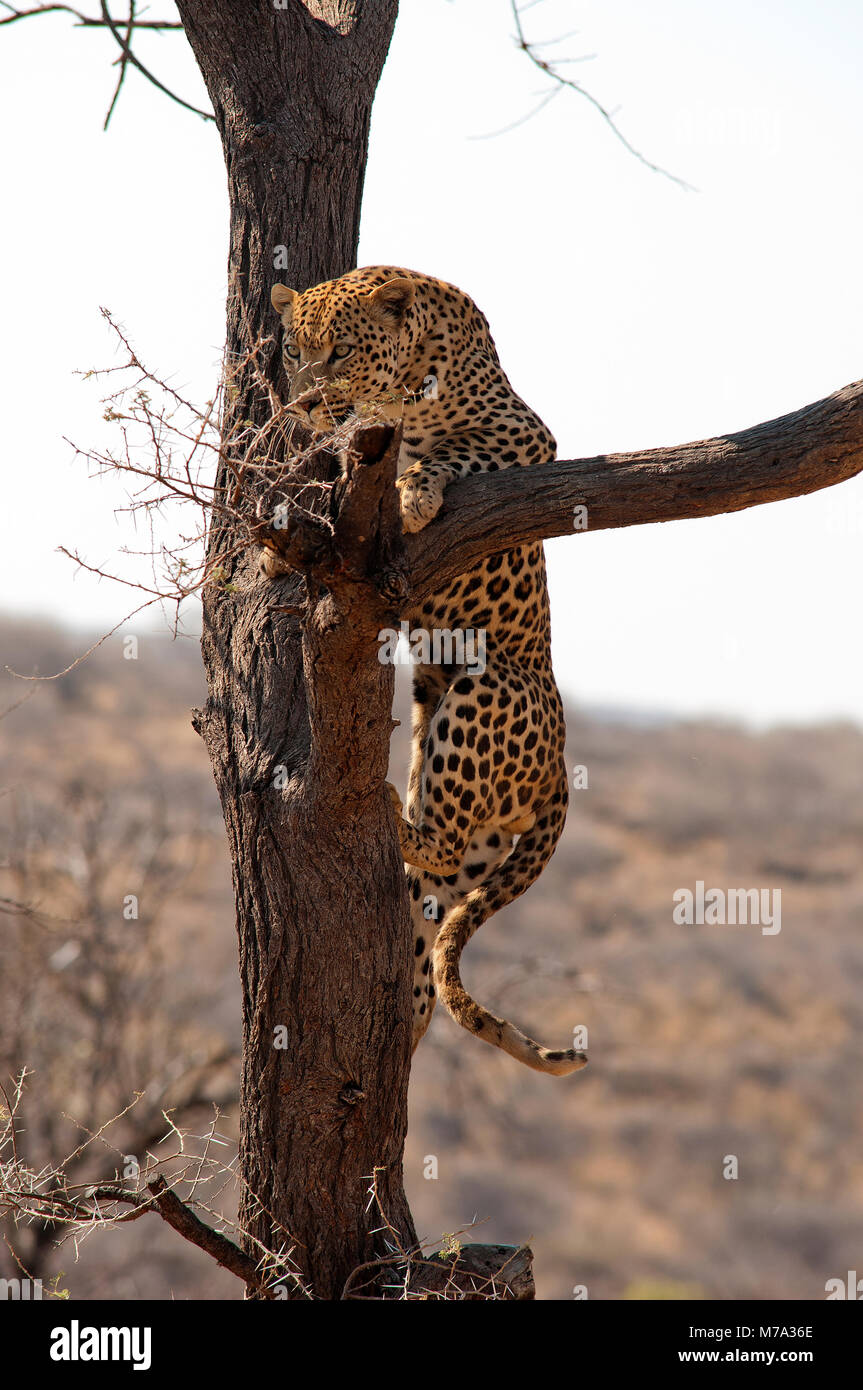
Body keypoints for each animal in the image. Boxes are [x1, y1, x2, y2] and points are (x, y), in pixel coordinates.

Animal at [264, 265, 586, 1076]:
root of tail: (560, 767)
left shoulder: (526, 437)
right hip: (461, 845)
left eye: (340, 352)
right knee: (427, 917)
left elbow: (450, 456)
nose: (306, 403)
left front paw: (413, 493)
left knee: (437, 837)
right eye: (294, 351)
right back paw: (398, 1024)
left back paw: (386, 806)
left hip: (484, 688)